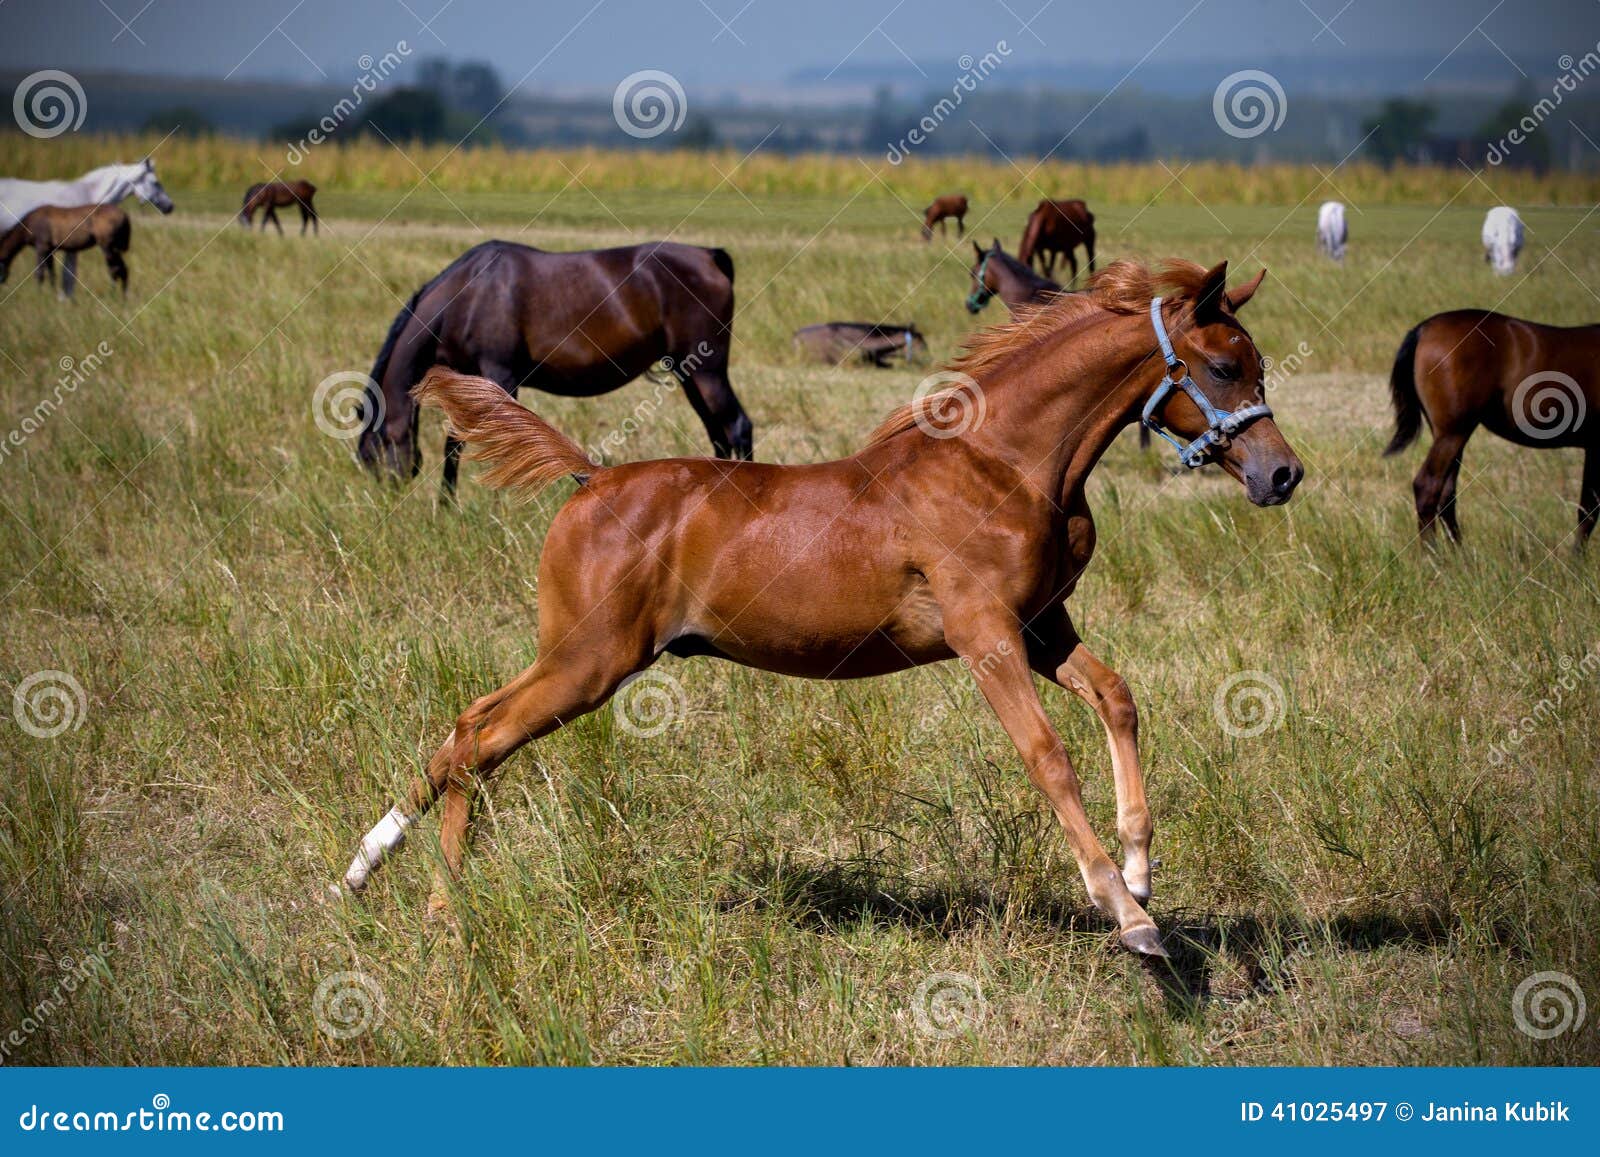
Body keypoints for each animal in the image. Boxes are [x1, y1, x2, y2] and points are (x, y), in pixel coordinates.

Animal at [0, 204, 130, 297]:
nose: (1, 282)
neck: (29, 223)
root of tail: (124, 214)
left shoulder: (41, 248)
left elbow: (40, 273)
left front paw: (39, 296)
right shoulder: (49, 251)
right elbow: (52, 274)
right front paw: (53, 295)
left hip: (107, 247)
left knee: (114, 270)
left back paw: (113, 295)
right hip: (114, 248)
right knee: (123, 269)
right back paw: (123, 297)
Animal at [356, 239, 753, 495]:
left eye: (374, 452)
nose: (386, 499)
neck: (468, 295)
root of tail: (708, 256)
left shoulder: (502, 376)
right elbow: (453, 446)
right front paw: (447, 505)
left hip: (708, 372)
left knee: (737, 426)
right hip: (691, 374)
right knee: (718, 432)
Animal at [1385, 310, 1597, 545]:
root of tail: (1423, 329)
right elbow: (1589, 511)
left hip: (1450, 436)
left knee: (1446, 495)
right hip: (1453, 433)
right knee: (1427, 488)